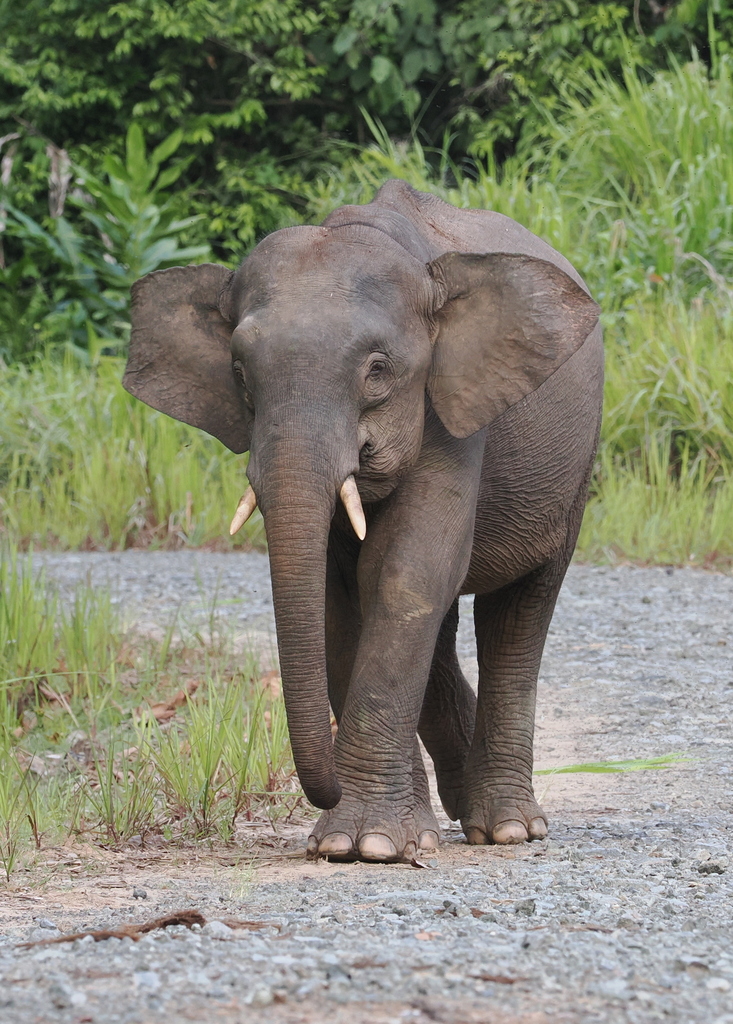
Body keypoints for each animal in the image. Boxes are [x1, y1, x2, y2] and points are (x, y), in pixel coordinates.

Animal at [123, 179, 603, 863]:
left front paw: (368, 843)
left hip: (572, 473)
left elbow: (409, 570)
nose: (321, 788)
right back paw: (461, 804)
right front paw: (359, 841)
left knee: (520, 610)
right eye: (239, 372)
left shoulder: (452, 406)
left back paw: (507, 828)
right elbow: (342, 597)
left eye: (378, 370)